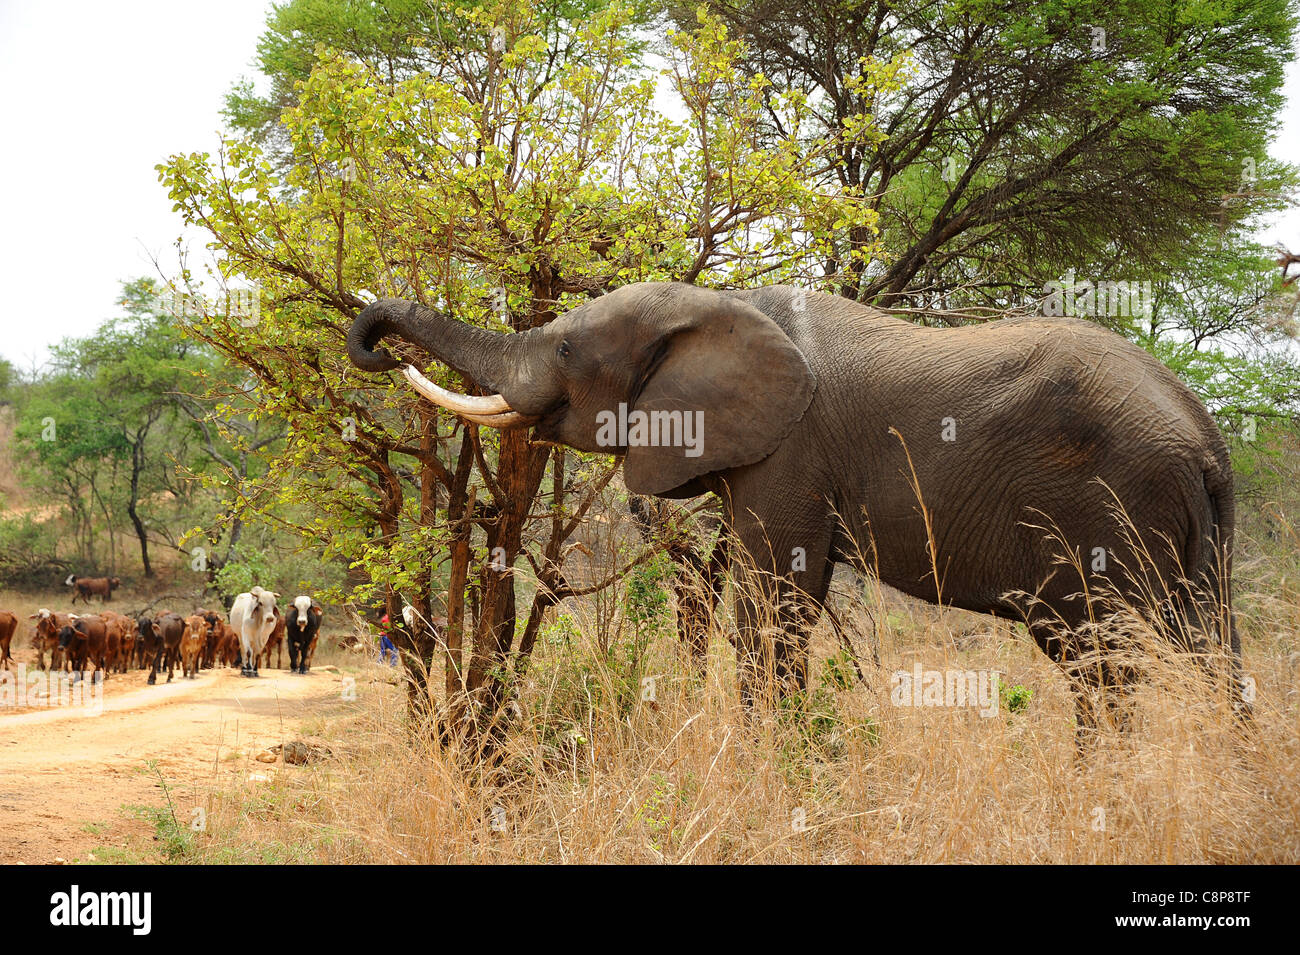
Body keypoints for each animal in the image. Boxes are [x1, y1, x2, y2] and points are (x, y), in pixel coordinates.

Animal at [347, 282, 1241, 730]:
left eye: (565, 347)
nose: (378, 348)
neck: (719, 303)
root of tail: (1206, 432)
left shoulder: (791, 452)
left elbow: (773, 609)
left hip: (1117, 509)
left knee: (1119, 655)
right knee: (1186, 653)